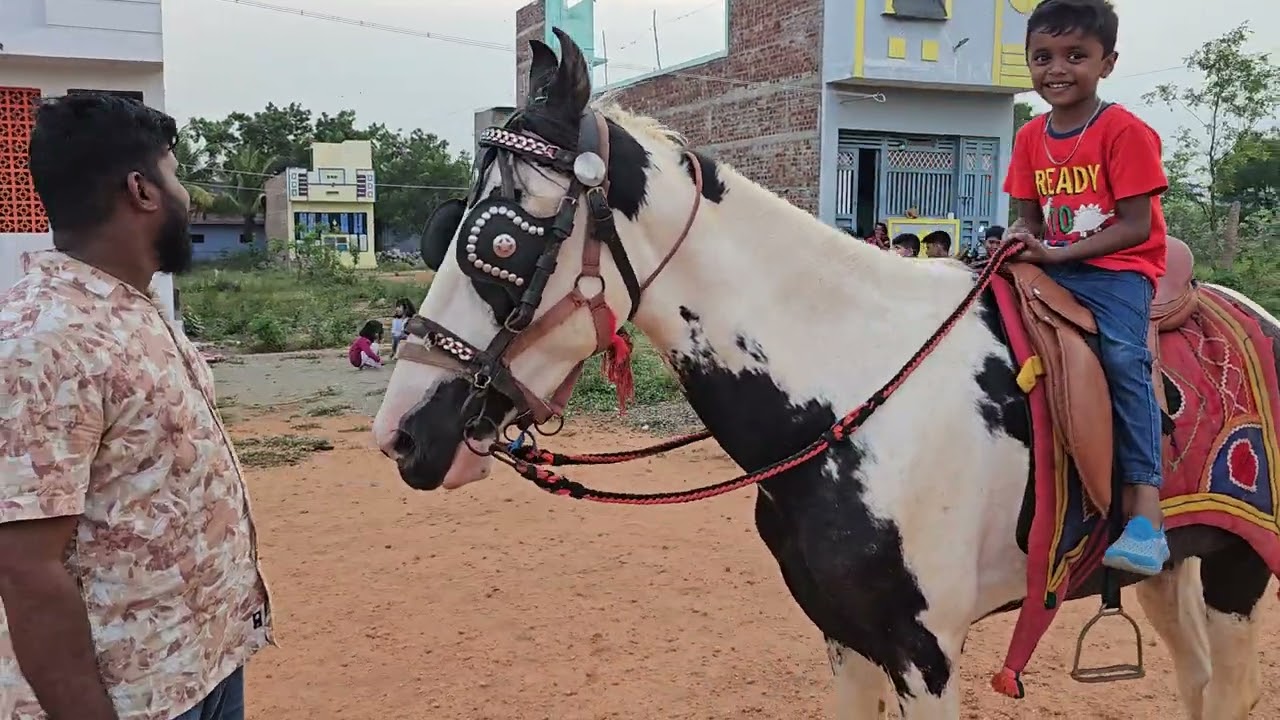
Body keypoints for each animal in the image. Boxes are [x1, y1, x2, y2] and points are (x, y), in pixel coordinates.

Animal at [373, 29, 1279, 718]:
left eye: (500, 237)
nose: (403, 433)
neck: (851, 394)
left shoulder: (927, 656)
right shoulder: (845, 639)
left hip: (1237, 573)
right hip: (1171, 569)